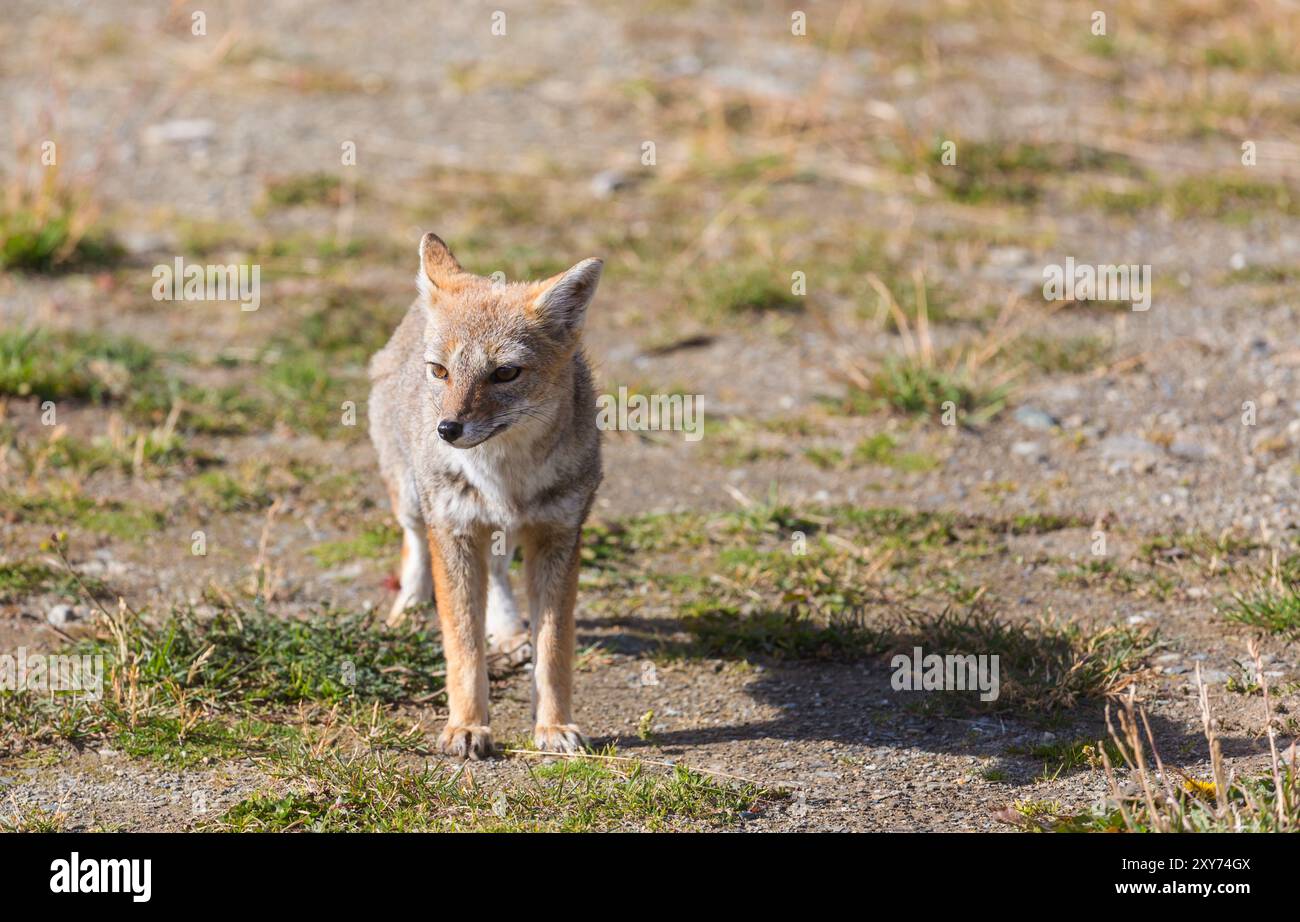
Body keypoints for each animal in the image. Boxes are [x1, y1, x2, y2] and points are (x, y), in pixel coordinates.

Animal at [367, 233, 603, 760]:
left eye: (505, 373)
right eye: (440, 372)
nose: (447, 429)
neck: (504, 477)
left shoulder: (559, 536)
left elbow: (554, 651)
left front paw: (554, 726)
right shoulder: (454, 533)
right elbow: (463, 647)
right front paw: (467, 725)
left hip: (504, 533)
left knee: (497, 572)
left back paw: (509, 629)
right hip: (413, 500)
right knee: (414, 545)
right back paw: (407, 611)